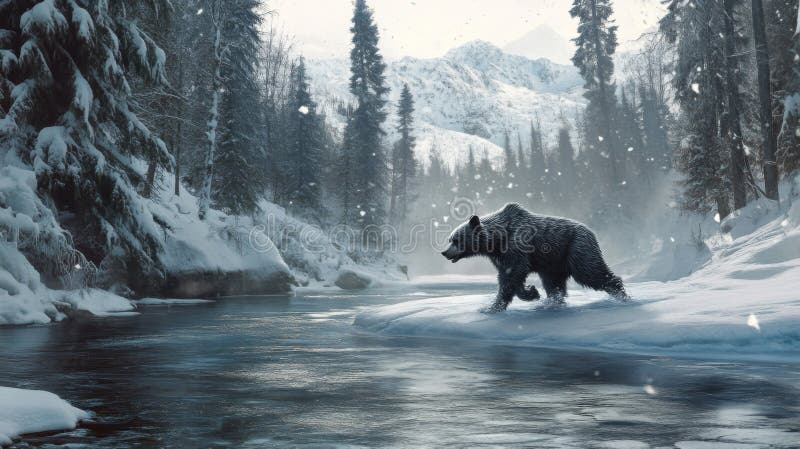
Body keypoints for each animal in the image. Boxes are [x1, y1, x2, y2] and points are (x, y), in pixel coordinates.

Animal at [440, 203, 628, 312]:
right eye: (450, 239)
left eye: (456, 240)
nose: (444, 252)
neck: (498, 240)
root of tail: (591, 232)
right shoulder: (500, 256)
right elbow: (507, 276)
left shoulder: (516, 246)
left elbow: (513, 274)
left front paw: (527, 294)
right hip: (554, 261)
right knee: (554, 282)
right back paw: (552, 302)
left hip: (576, 248)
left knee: (590, 271)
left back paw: (621, 294)